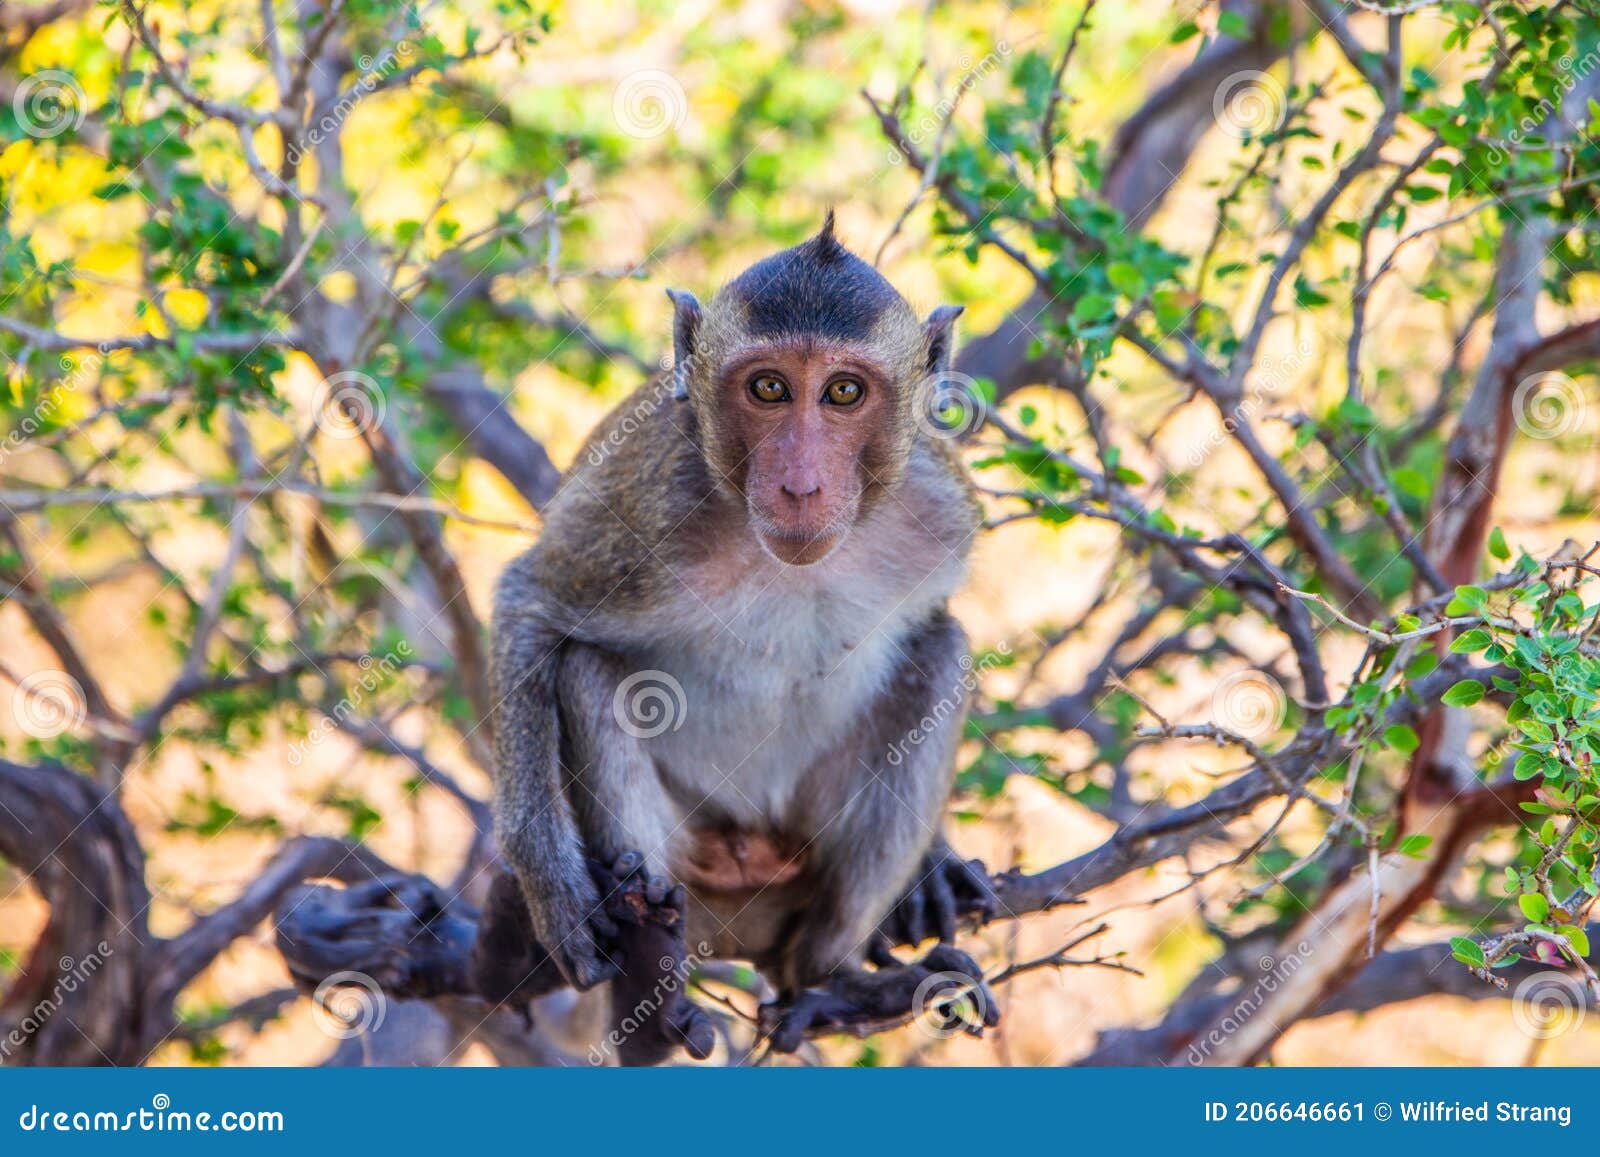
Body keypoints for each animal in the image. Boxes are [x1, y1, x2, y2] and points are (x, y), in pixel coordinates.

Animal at [483, 212, 997, 1064]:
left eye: (844, 391)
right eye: (768, 388)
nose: (801, 484)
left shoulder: (944, 505)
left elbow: (930, 622)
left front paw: (936, 863)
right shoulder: (644, 503)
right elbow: (532, 606)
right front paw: (551, 883)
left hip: (795, 877)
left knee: (941, 655)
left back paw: (834, 983)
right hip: (694, 869)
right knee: (590, 673)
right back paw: (652, 979)